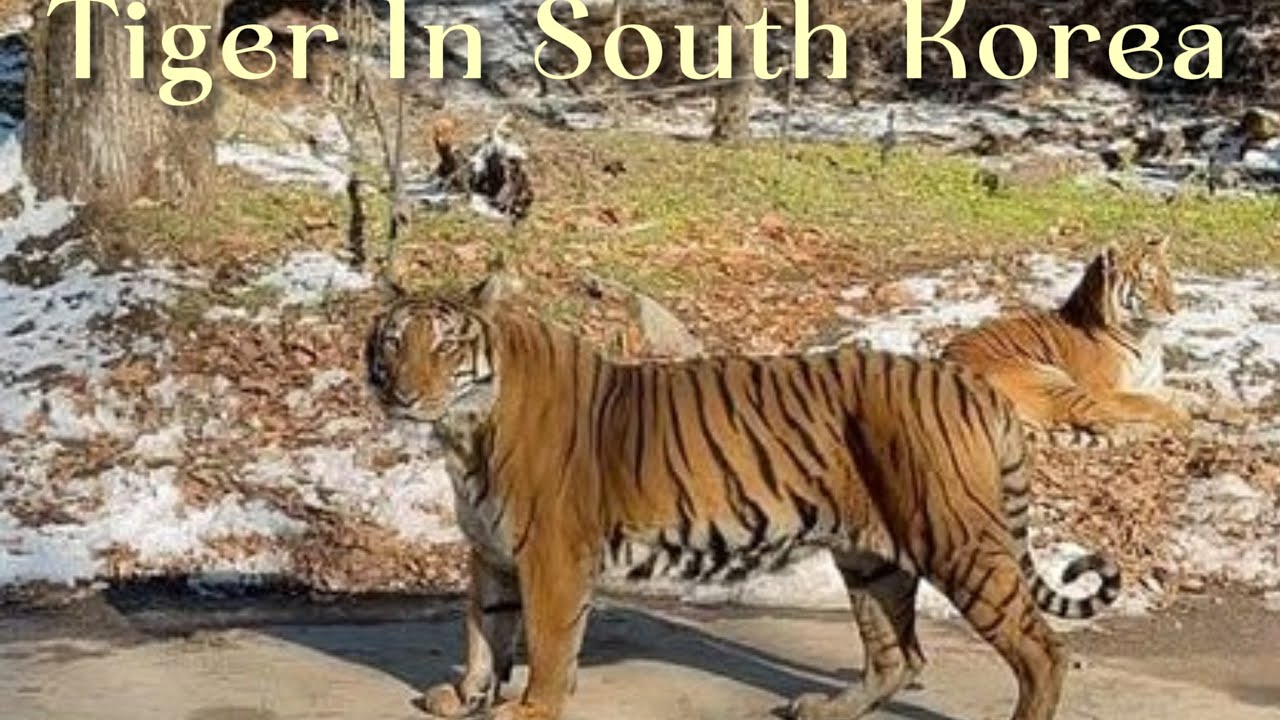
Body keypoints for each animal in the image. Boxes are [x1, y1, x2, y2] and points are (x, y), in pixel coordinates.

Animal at [365, 286, 1122, 720]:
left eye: (446, 344)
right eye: (393, 342)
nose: (403, 392)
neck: (463, 434)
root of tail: (976, 385)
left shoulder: (552, 556)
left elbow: (548, 645)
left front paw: (527, 710)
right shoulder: (490, 554)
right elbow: (483, 633)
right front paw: (466, 697)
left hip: (957, 541)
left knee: (1041, 651)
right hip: (870, 559)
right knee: (899, 655)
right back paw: (826, 709)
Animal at [943, 238, 1196, 442]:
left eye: (1169, 277)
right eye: (1147, 281)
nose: (1175, 309)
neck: (1145, 336)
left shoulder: (1147, 385)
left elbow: (1184, 395)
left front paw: (1205, 407)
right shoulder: (1104, 390)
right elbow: (1147, 403)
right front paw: (1183, 419)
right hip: (1056, 383)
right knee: (1104, 421)